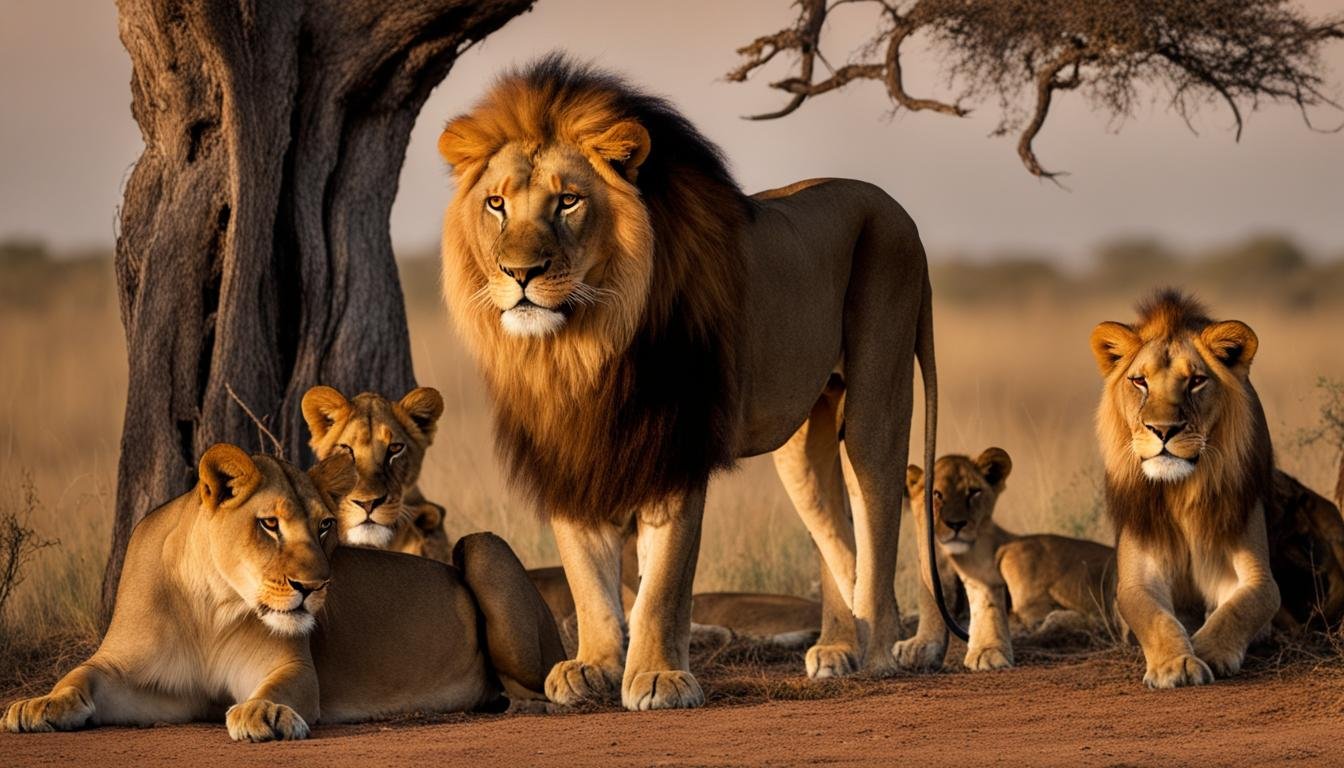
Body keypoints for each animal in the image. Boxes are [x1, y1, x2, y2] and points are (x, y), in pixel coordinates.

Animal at [3, 445, 564, 740]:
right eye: (269, 524)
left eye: (324, 525)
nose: (314, 588)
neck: (210, 604)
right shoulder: (157, 688)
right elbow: (81, 674)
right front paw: (35, 706)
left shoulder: (291, 667)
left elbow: (277, 689)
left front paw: (263, 714)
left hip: (482, 545)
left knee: (535, 681)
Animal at [437, 55, 939, 709]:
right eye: (496, 204)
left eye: (568, 201)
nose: (520, 273)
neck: (580, 348)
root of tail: (900, 212)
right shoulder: (570, 448)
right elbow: (586, 574)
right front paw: (591, 666)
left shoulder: (674, 443)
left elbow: (663, 584)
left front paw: (657, 677)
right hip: (803, 442)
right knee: (837, 533)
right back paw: (837, 649)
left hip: (878, 389)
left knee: (876, 518)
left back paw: (880, 653)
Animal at [1090, 290, 1280, 688]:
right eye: (1140, 382)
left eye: (1196, 381)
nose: (1163, 430)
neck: (1180, 489)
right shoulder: (1136, 574)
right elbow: (1150, 614)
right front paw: (1176, 663)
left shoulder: (1255, 565)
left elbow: (1248, 602)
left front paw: (1207, 649)